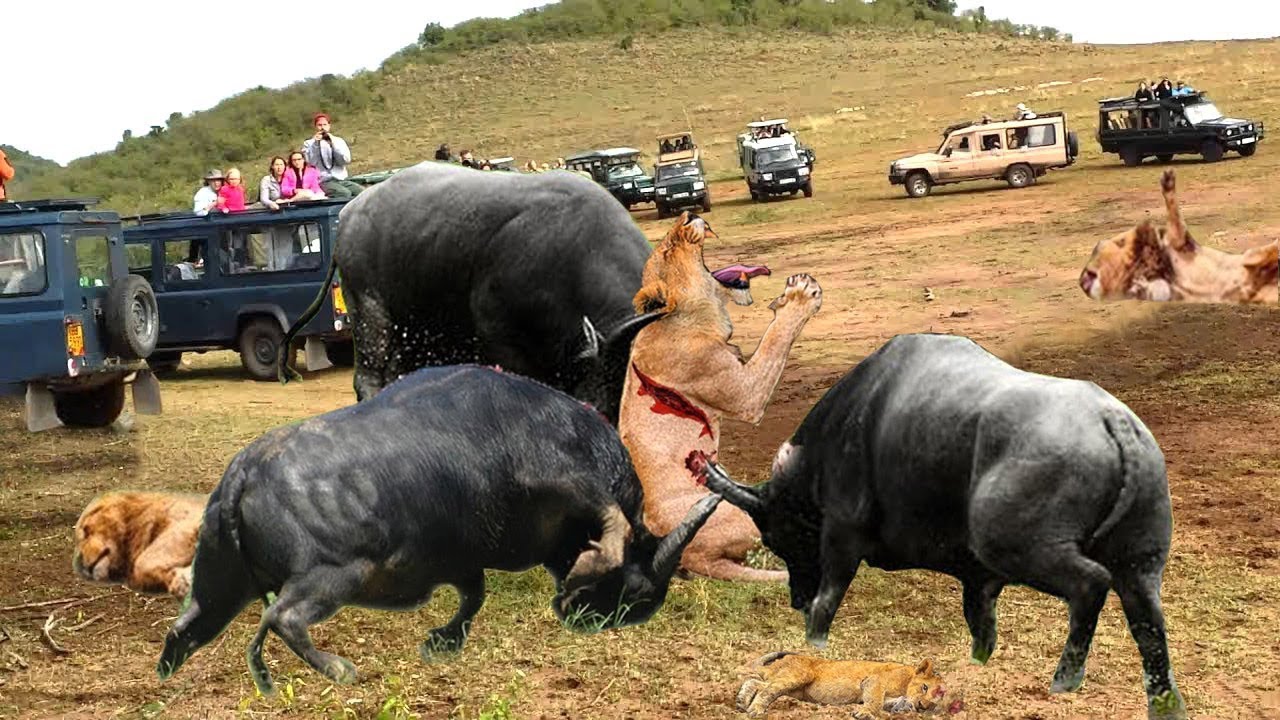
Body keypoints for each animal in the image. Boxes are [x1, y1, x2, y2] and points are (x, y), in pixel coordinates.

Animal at [158, 362, 721, 695]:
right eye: (634, 585)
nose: (601, 619)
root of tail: (243, 474)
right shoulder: (565, 480)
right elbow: (611, 519)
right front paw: (590, 562)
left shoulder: (462, 559)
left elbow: (473, 596)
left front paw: (442, 642)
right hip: (331, 575)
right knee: (282, 617)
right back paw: (338, 669)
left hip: (222, 583)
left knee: (188, 625)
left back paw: (169, 677)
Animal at [618, 211, 821, 582]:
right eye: (669, 248)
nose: (688, 214)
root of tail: (690, 558)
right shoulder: (746, 393)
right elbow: (775, 339)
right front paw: (800, 295)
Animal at [736, 652, 958, 719]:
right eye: (925, 688)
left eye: (933, 703)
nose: (922, 706)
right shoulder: (874, 681)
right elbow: (875, 702)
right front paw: (865, 713)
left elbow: (886, 704)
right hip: (799, 675)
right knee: (767, 689)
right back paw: (755, 709)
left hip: (795, 689)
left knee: (757, 682)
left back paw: (741, 701)